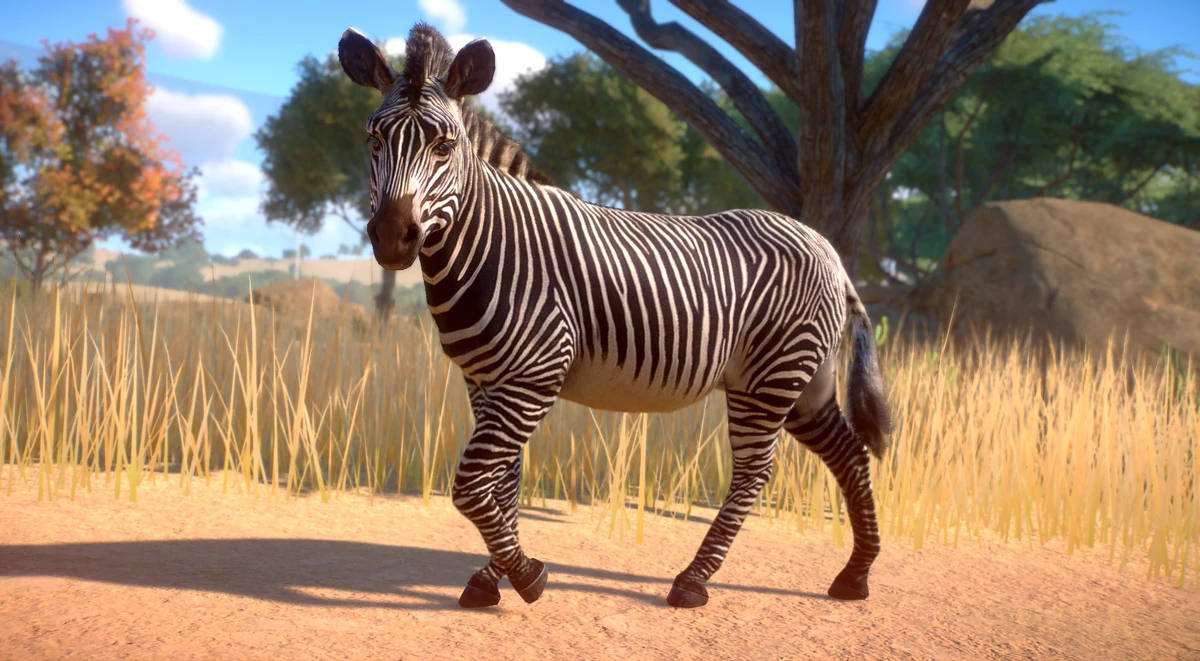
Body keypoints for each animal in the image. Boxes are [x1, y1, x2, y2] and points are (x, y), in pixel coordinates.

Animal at [338, 22, 893, 609]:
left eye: (444, 146)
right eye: (373, 141)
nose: (392, 238)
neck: (488, 247)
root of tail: (827, 248)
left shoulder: (534, 375)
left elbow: (471, 486)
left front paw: (526, 575)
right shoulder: (484, 379)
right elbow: (501, 482)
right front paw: (496, 575)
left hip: (769, 376)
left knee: (754, 471)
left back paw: (693, 581)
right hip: (806, 382)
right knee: (852, 455)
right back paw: (855, 576)